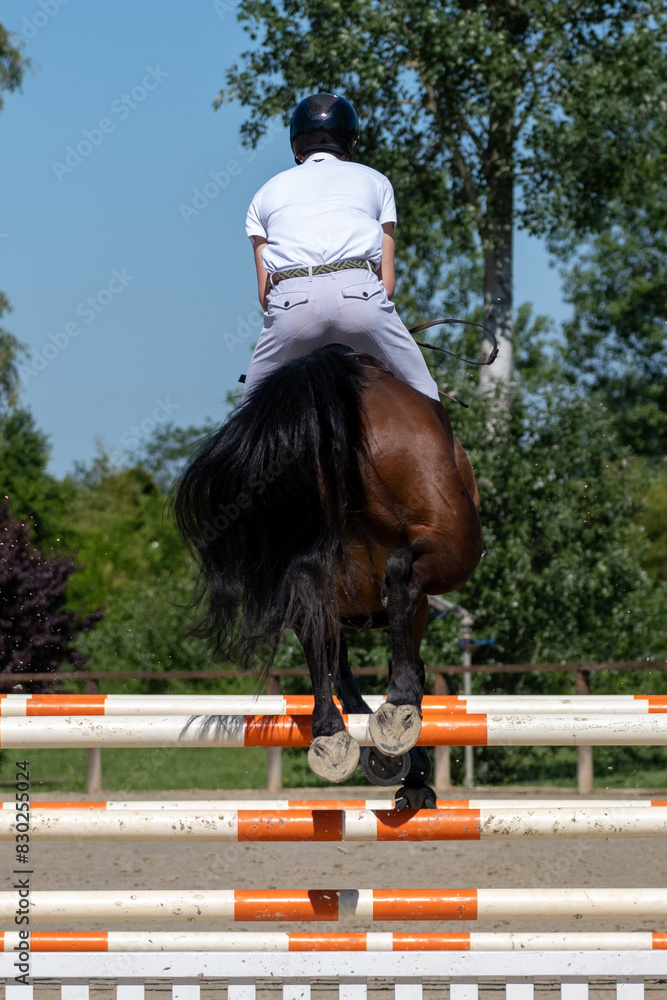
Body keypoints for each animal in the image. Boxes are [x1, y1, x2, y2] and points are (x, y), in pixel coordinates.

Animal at [173, 344, 484, 809]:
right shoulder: (415, 600)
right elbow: (400, 656)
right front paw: (409, 765)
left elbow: (342, 667)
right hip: (452, 543)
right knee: (401, 577)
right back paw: (398, 709)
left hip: (306, 564)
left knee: (316, 627)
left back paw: (331, 734)